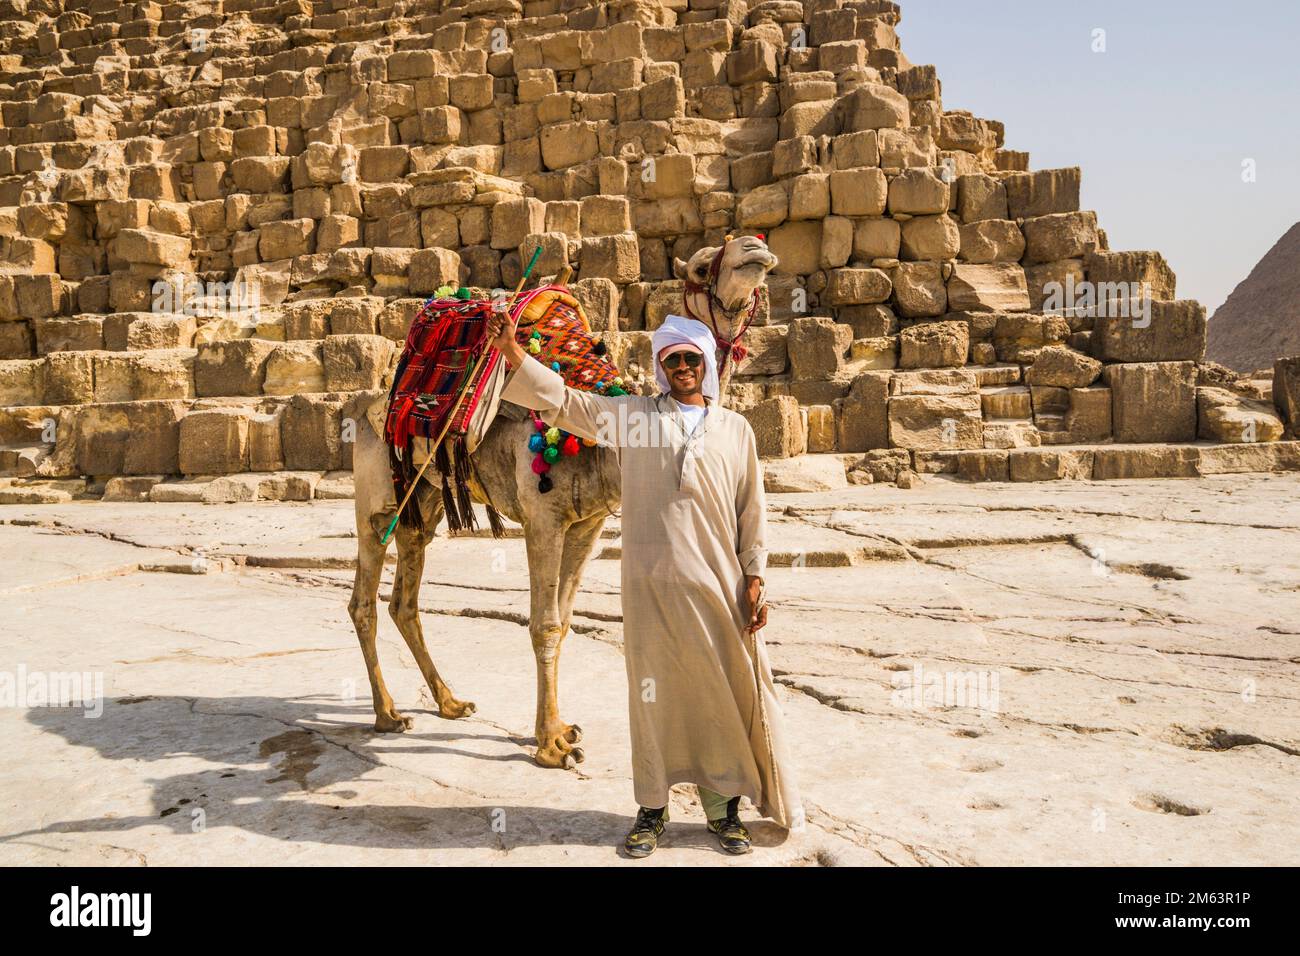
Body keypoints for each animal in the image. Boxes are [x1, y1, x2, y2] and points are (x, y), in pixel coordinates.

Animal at [347, 234, 779, 769]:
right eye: (701, 266)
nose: (755, 248)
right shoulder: (543, 518)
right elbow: (544, 624)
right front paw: (550, 745)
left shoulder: (587, 524)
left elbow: (567, 621)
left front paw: (560, 729)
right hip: (376, 497)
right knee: (364, 600)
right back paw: (387, 713)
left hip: (423, 499)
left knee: (405, 598)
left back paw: (449, 702)